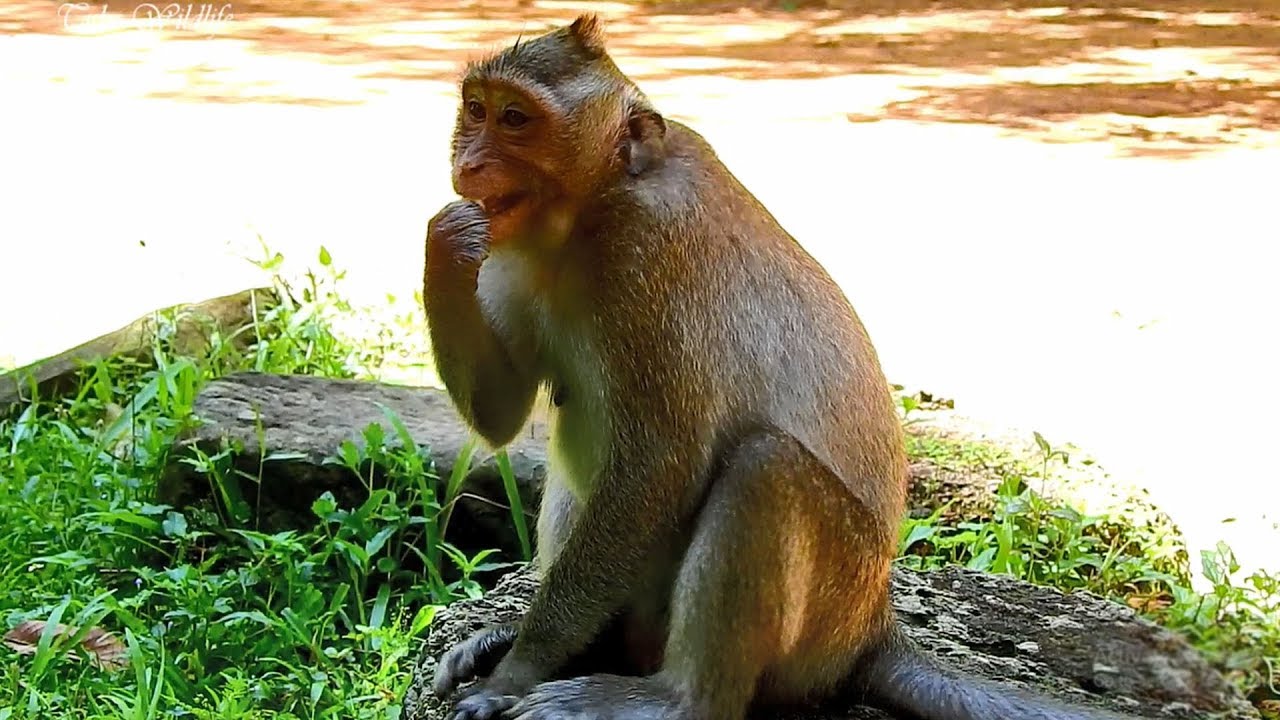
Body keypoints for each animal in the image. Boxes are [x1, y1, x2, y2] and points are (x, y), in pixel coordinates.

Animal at [421, 14, 1127, 720]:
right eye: (476, 109)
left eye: (516, 118)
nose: (467, 162)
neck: (588, 210)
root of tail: (875, 627)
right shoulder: (510, 247)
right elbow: (503, 412)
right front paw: (444, 240)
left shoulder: (647, 251)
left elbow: (659, 463)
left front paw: (515, 673)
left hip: (824, 618)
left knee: (765, 468)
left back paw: (675, 698)